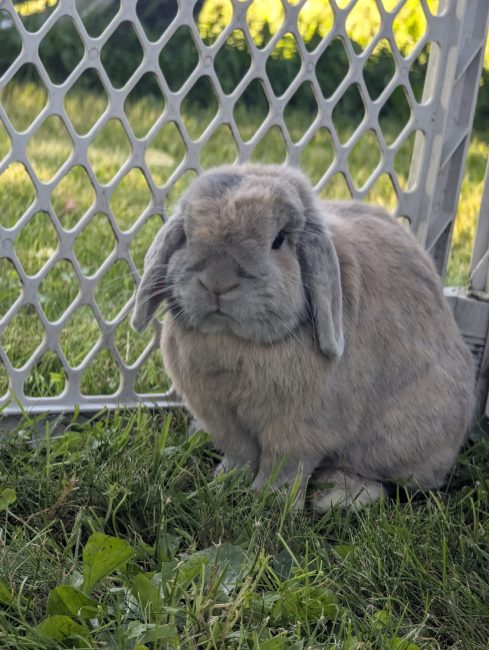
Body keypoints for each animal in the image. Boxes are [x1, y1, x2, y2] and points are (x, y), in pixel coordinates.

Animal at [132, 164, 475, 510]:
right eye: (188, 234)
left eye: (279, 240)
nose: (218, 281)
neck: (234, 342)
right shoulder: (223, 420)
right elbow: (241, 454)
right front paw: (224, 483)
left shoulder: (299, 432)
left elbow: (284, 465)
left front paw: (270, 501)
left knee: (386, 482)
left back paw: (335, 497)